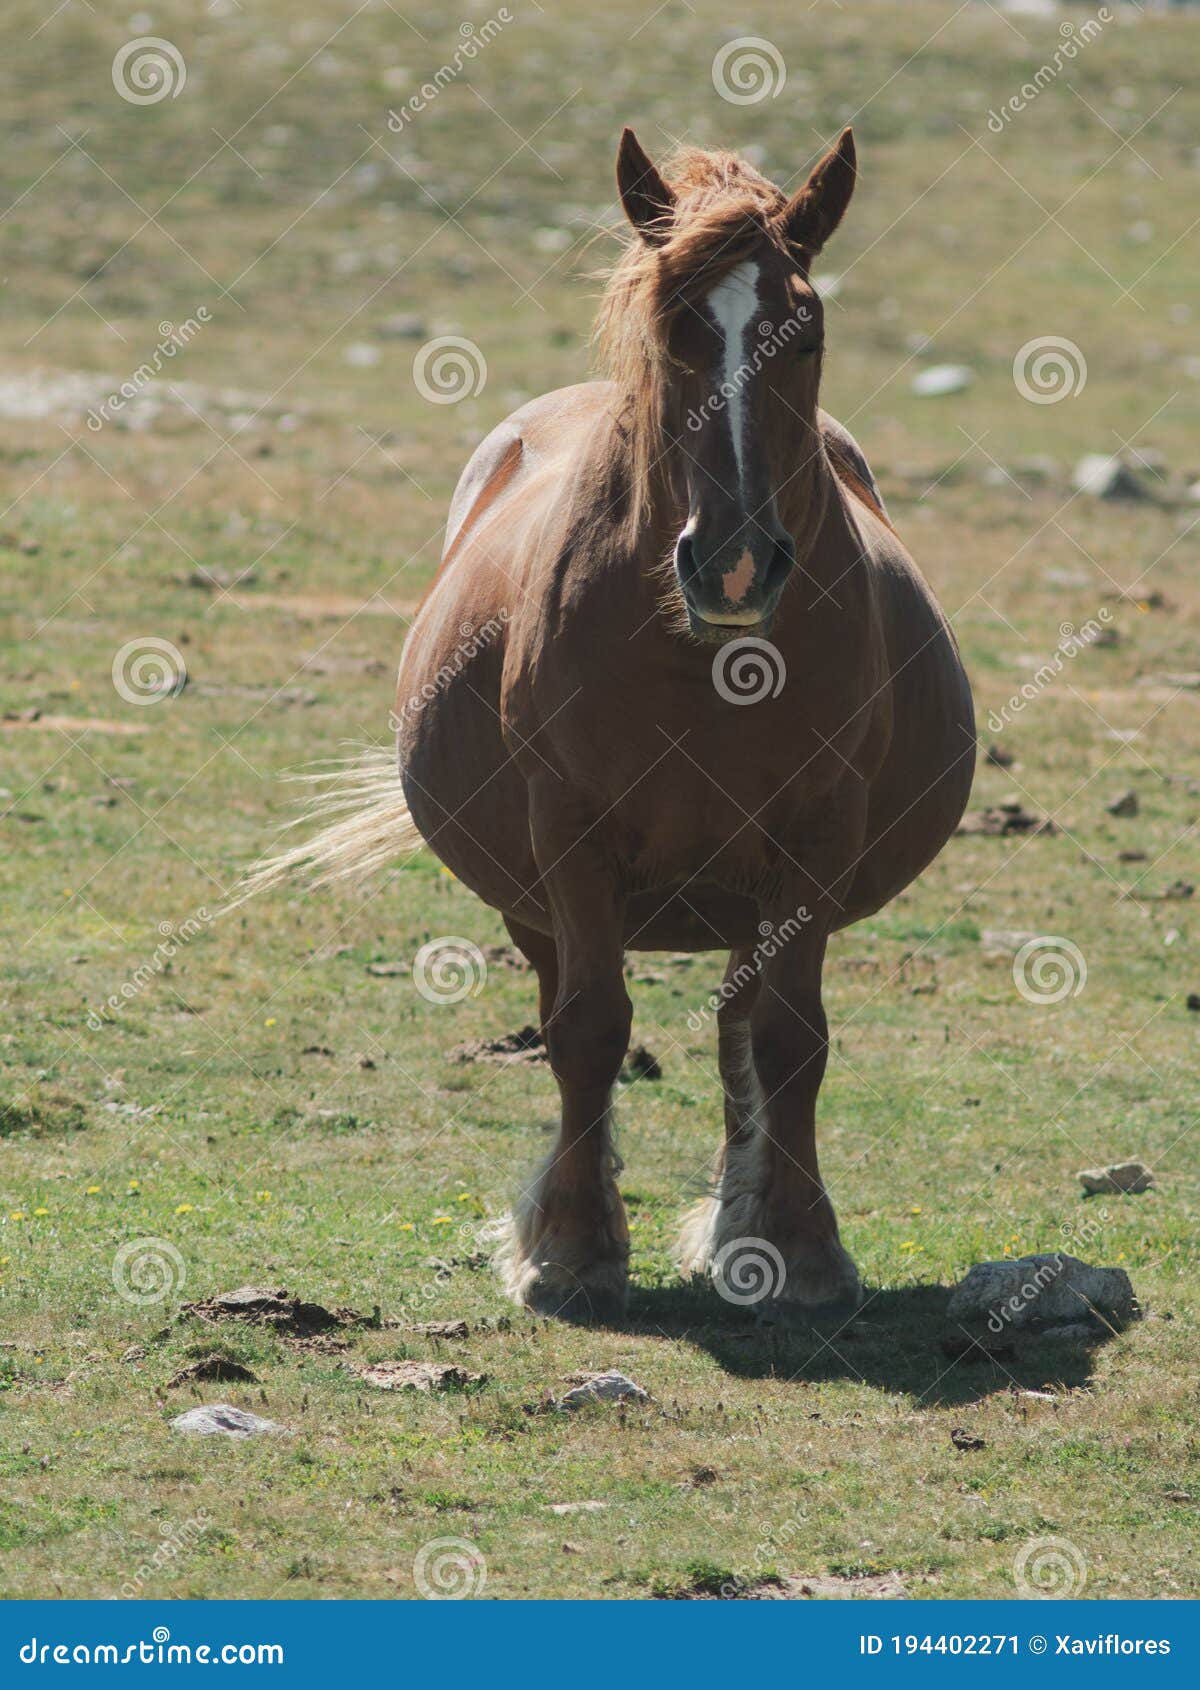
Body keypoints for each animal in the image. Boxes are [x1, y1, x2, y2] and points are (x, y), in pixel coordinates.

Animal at [244, 126, 975, 1325]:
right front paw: (573, 1248)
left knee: (743, 1027)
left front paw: (800, 1248)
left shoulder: (816, 835)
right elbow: (588, 1030)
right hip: (534, 897)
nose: (734, 563)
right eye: (674, 332)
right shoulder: (572, 835)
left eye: (808, 331)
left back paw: (741, 1223)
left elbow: (790, 1040)